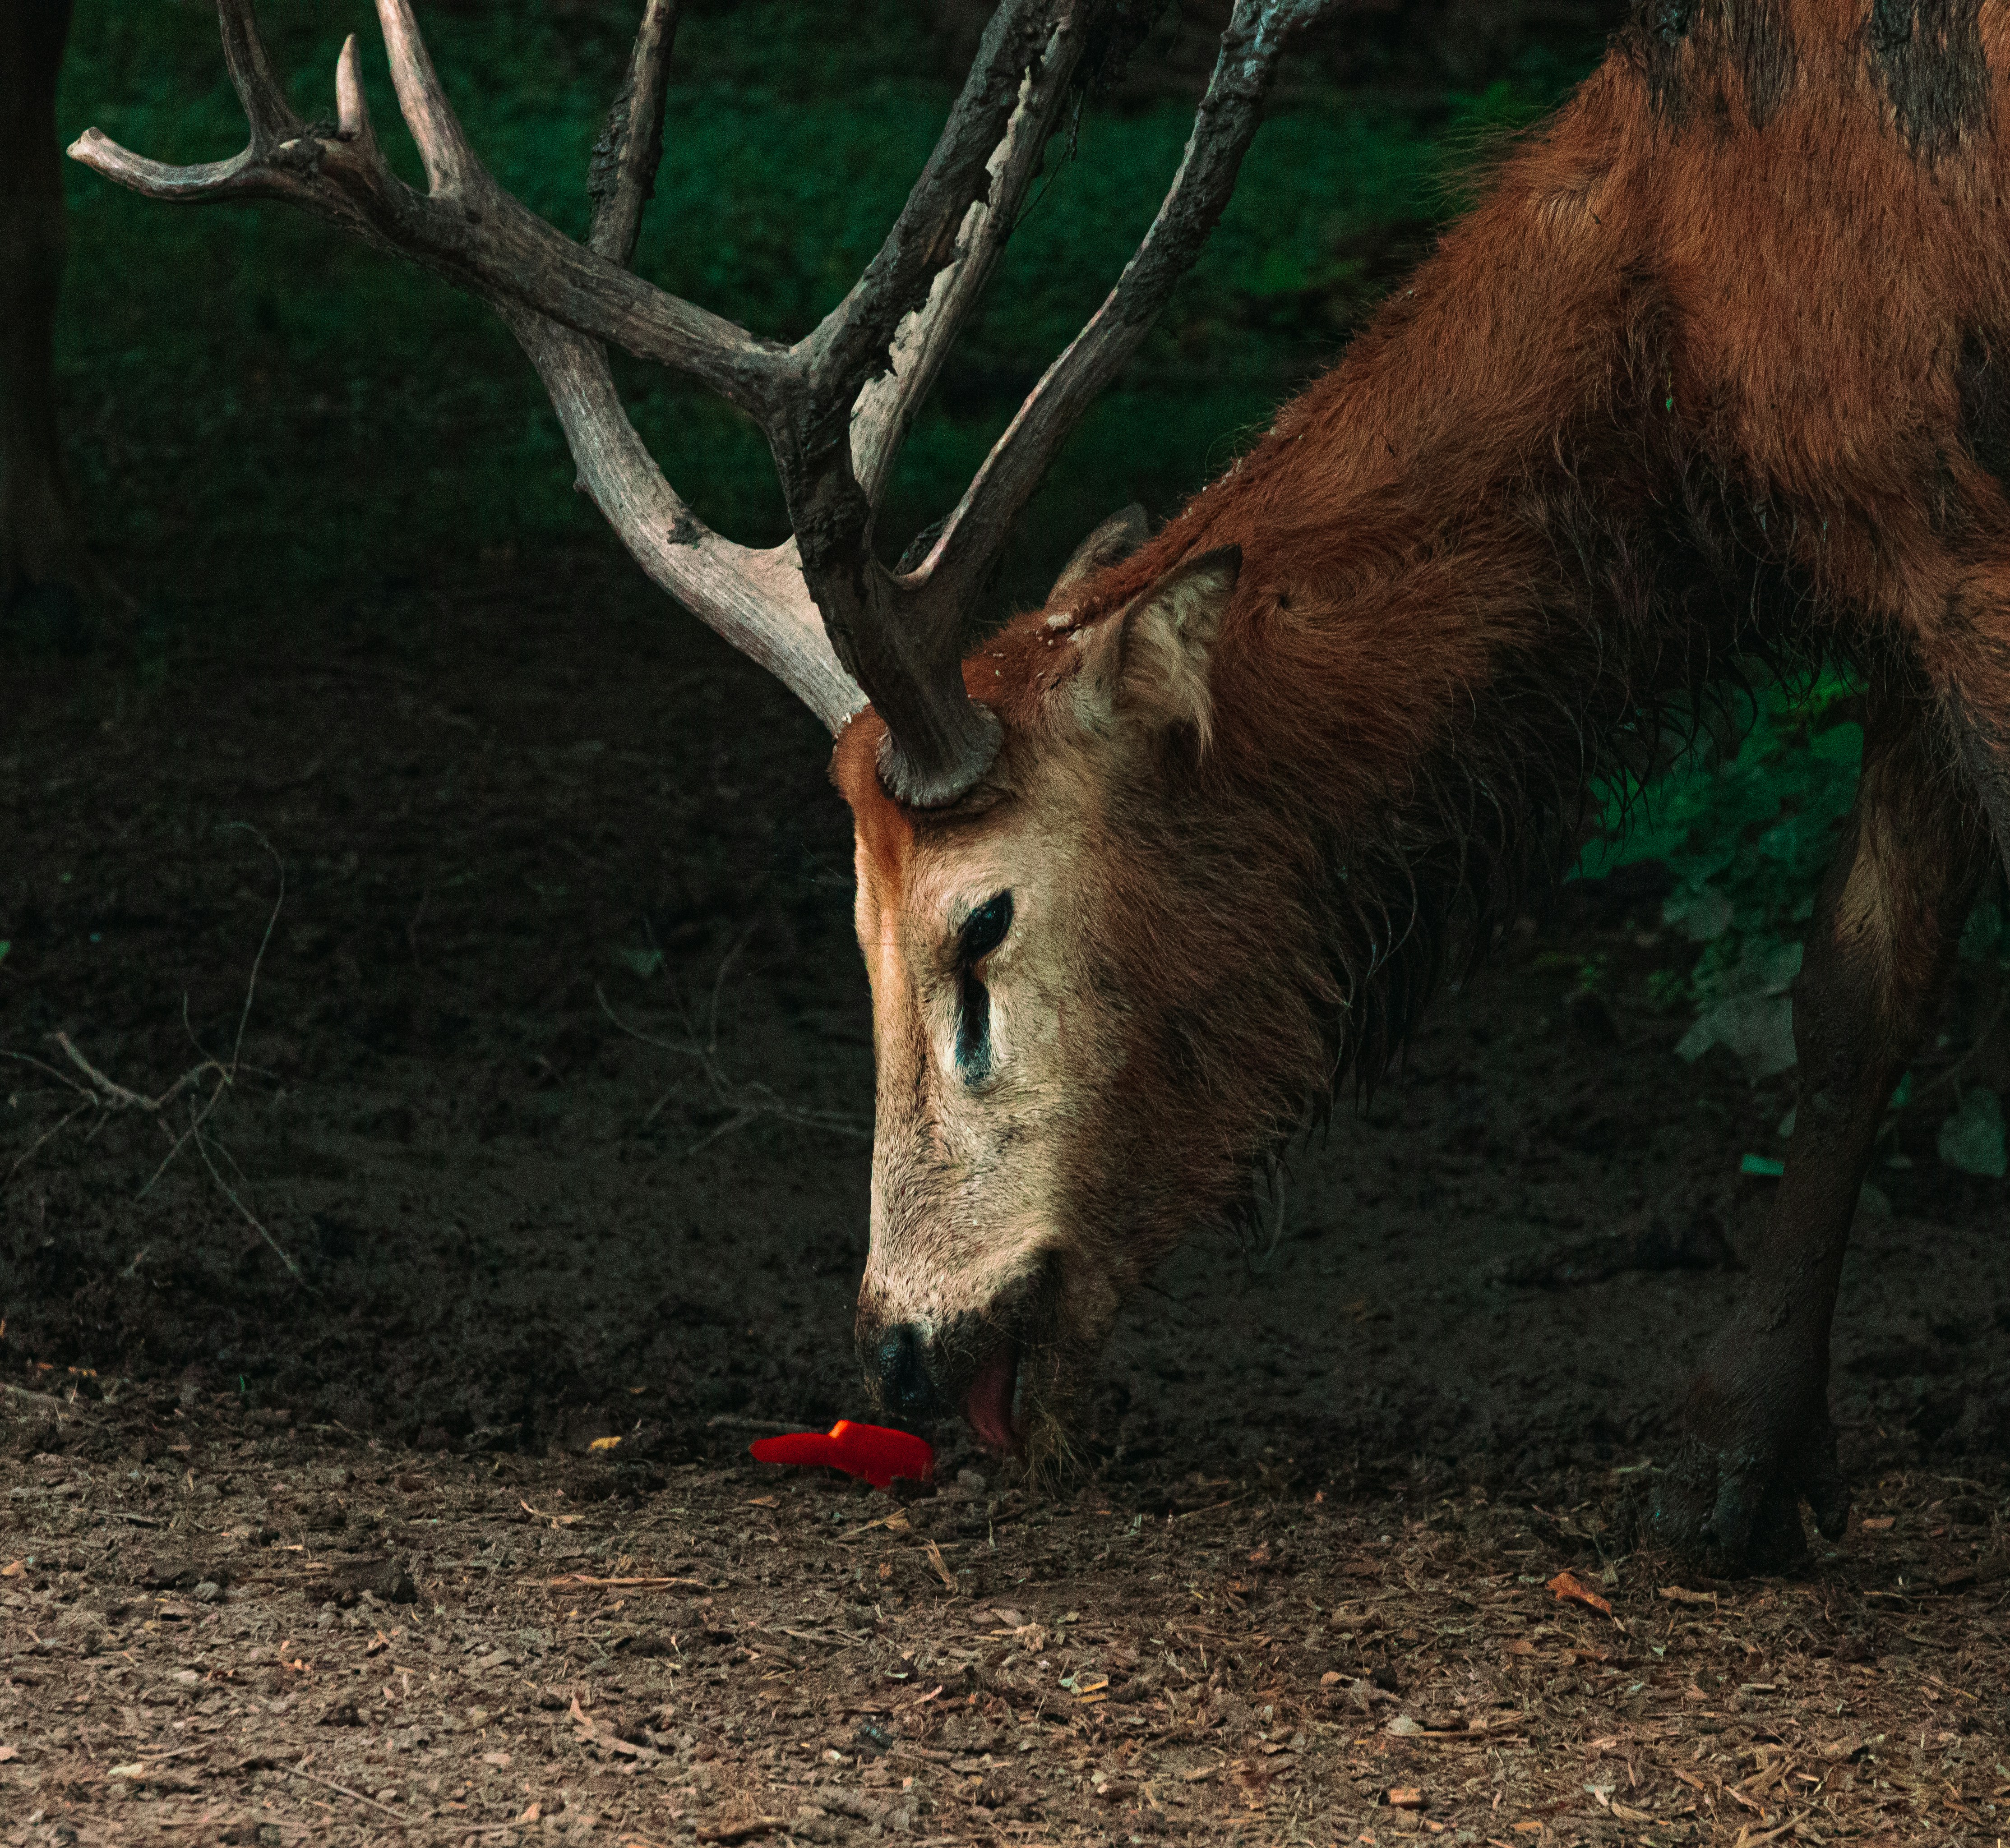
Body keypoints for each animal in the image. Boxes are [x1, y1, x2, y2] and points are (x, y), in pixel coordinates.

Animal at [74, 0, 2010, 1570]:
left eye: (982, 922)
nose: (901, 1344)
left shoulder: (1960, 538)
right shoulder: (1899, 551)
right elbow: (1852, 990)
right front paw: (1734, 1475)